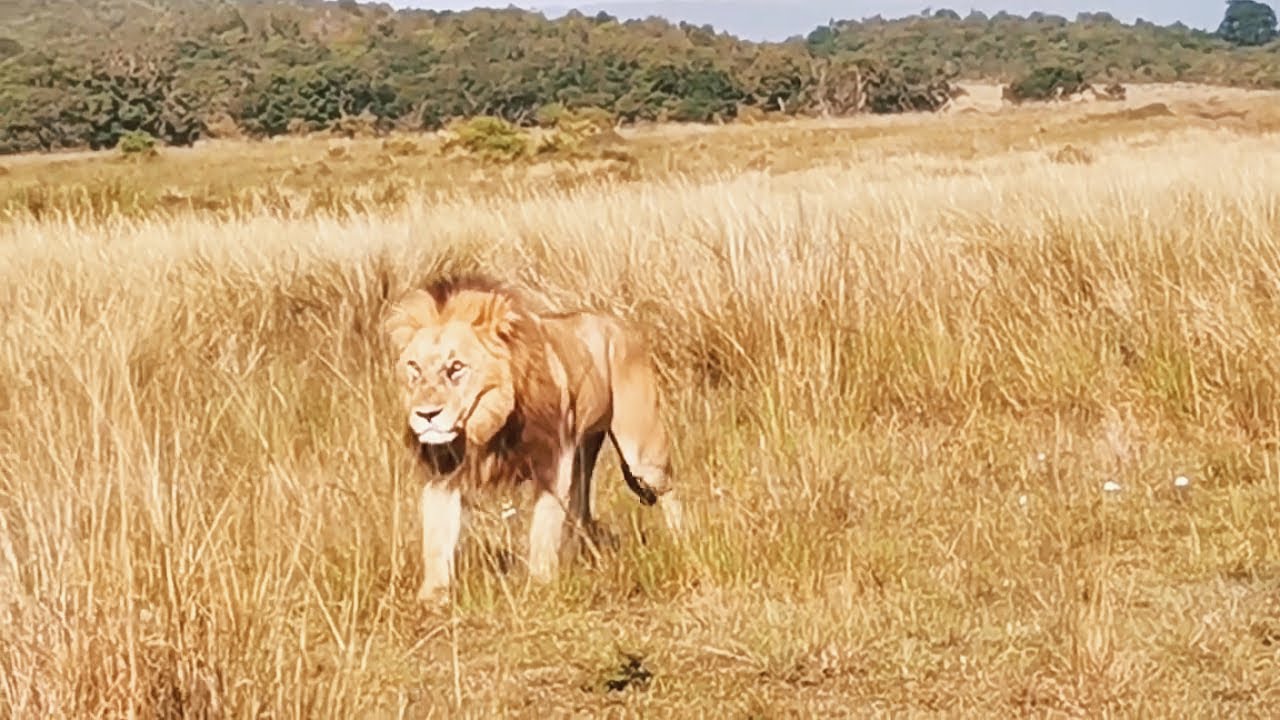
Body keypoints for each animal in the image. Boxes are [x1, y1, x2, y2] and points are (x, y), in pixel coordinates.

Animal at [382, 273, 684, 602]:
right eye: (414, 367)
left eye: (456, 367)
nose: (425, 415)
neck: (487, 428)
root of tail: (620, 323)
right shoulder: (443, 473)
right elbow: (436, 536)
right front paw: (431, 597)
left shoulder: (552, 463)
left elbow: (543, 528)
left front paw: (540, 585)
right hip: (584, 449)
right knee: (580, 507)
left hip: (643, 454)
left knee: (669, 491)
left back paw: (682, 540)